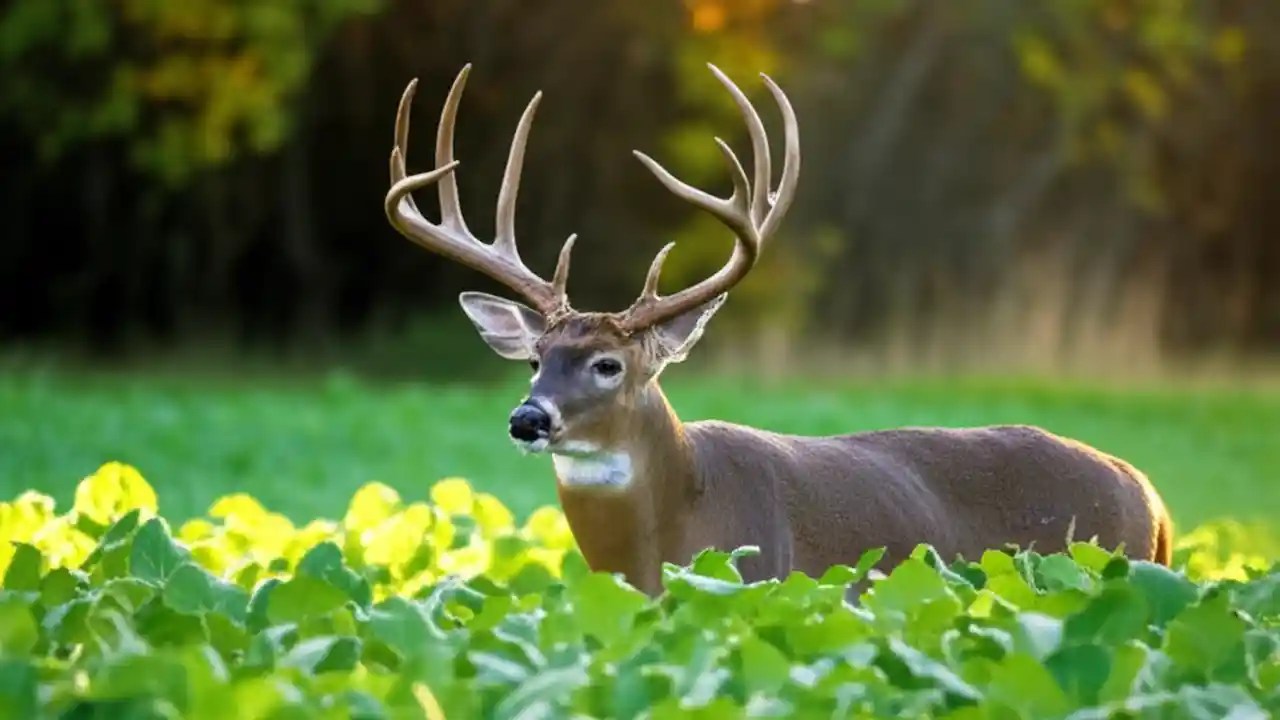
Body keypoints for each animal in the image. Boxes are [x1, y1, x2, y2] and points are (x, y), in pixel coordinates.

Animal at [382, 63, 1175, 596]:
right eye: (534, 359)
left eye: (608, 364)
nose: (528, 418)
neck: (671, 532)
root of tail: (1154, 499)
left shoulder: (758, 583)